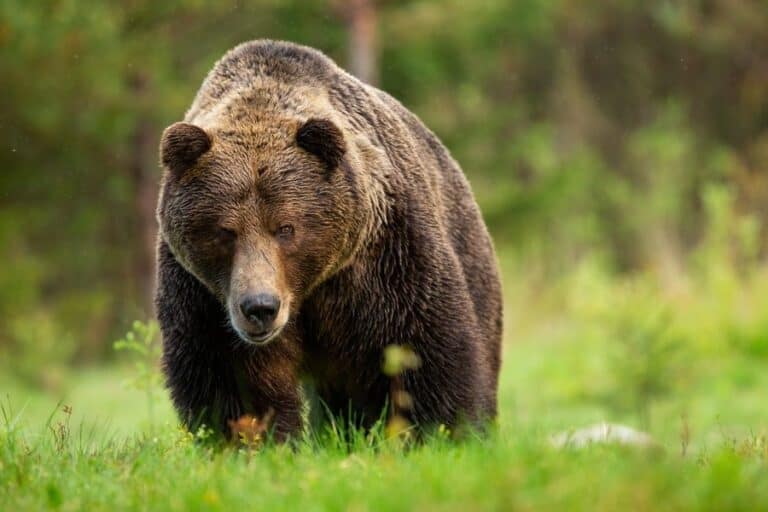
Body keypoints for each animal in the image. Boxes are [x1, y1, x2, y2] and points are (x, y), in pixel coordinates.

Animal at [155, 39, 503, 440]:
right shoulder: (204, 297)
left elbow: (423, 348)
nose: (260, 307)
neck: (307, 288)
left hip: (469, 251)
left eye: (285, 227)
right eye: (225, 231)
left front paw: (443, 430)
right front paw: (256, 439)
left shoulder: (385, 257)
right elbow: (234, 380)